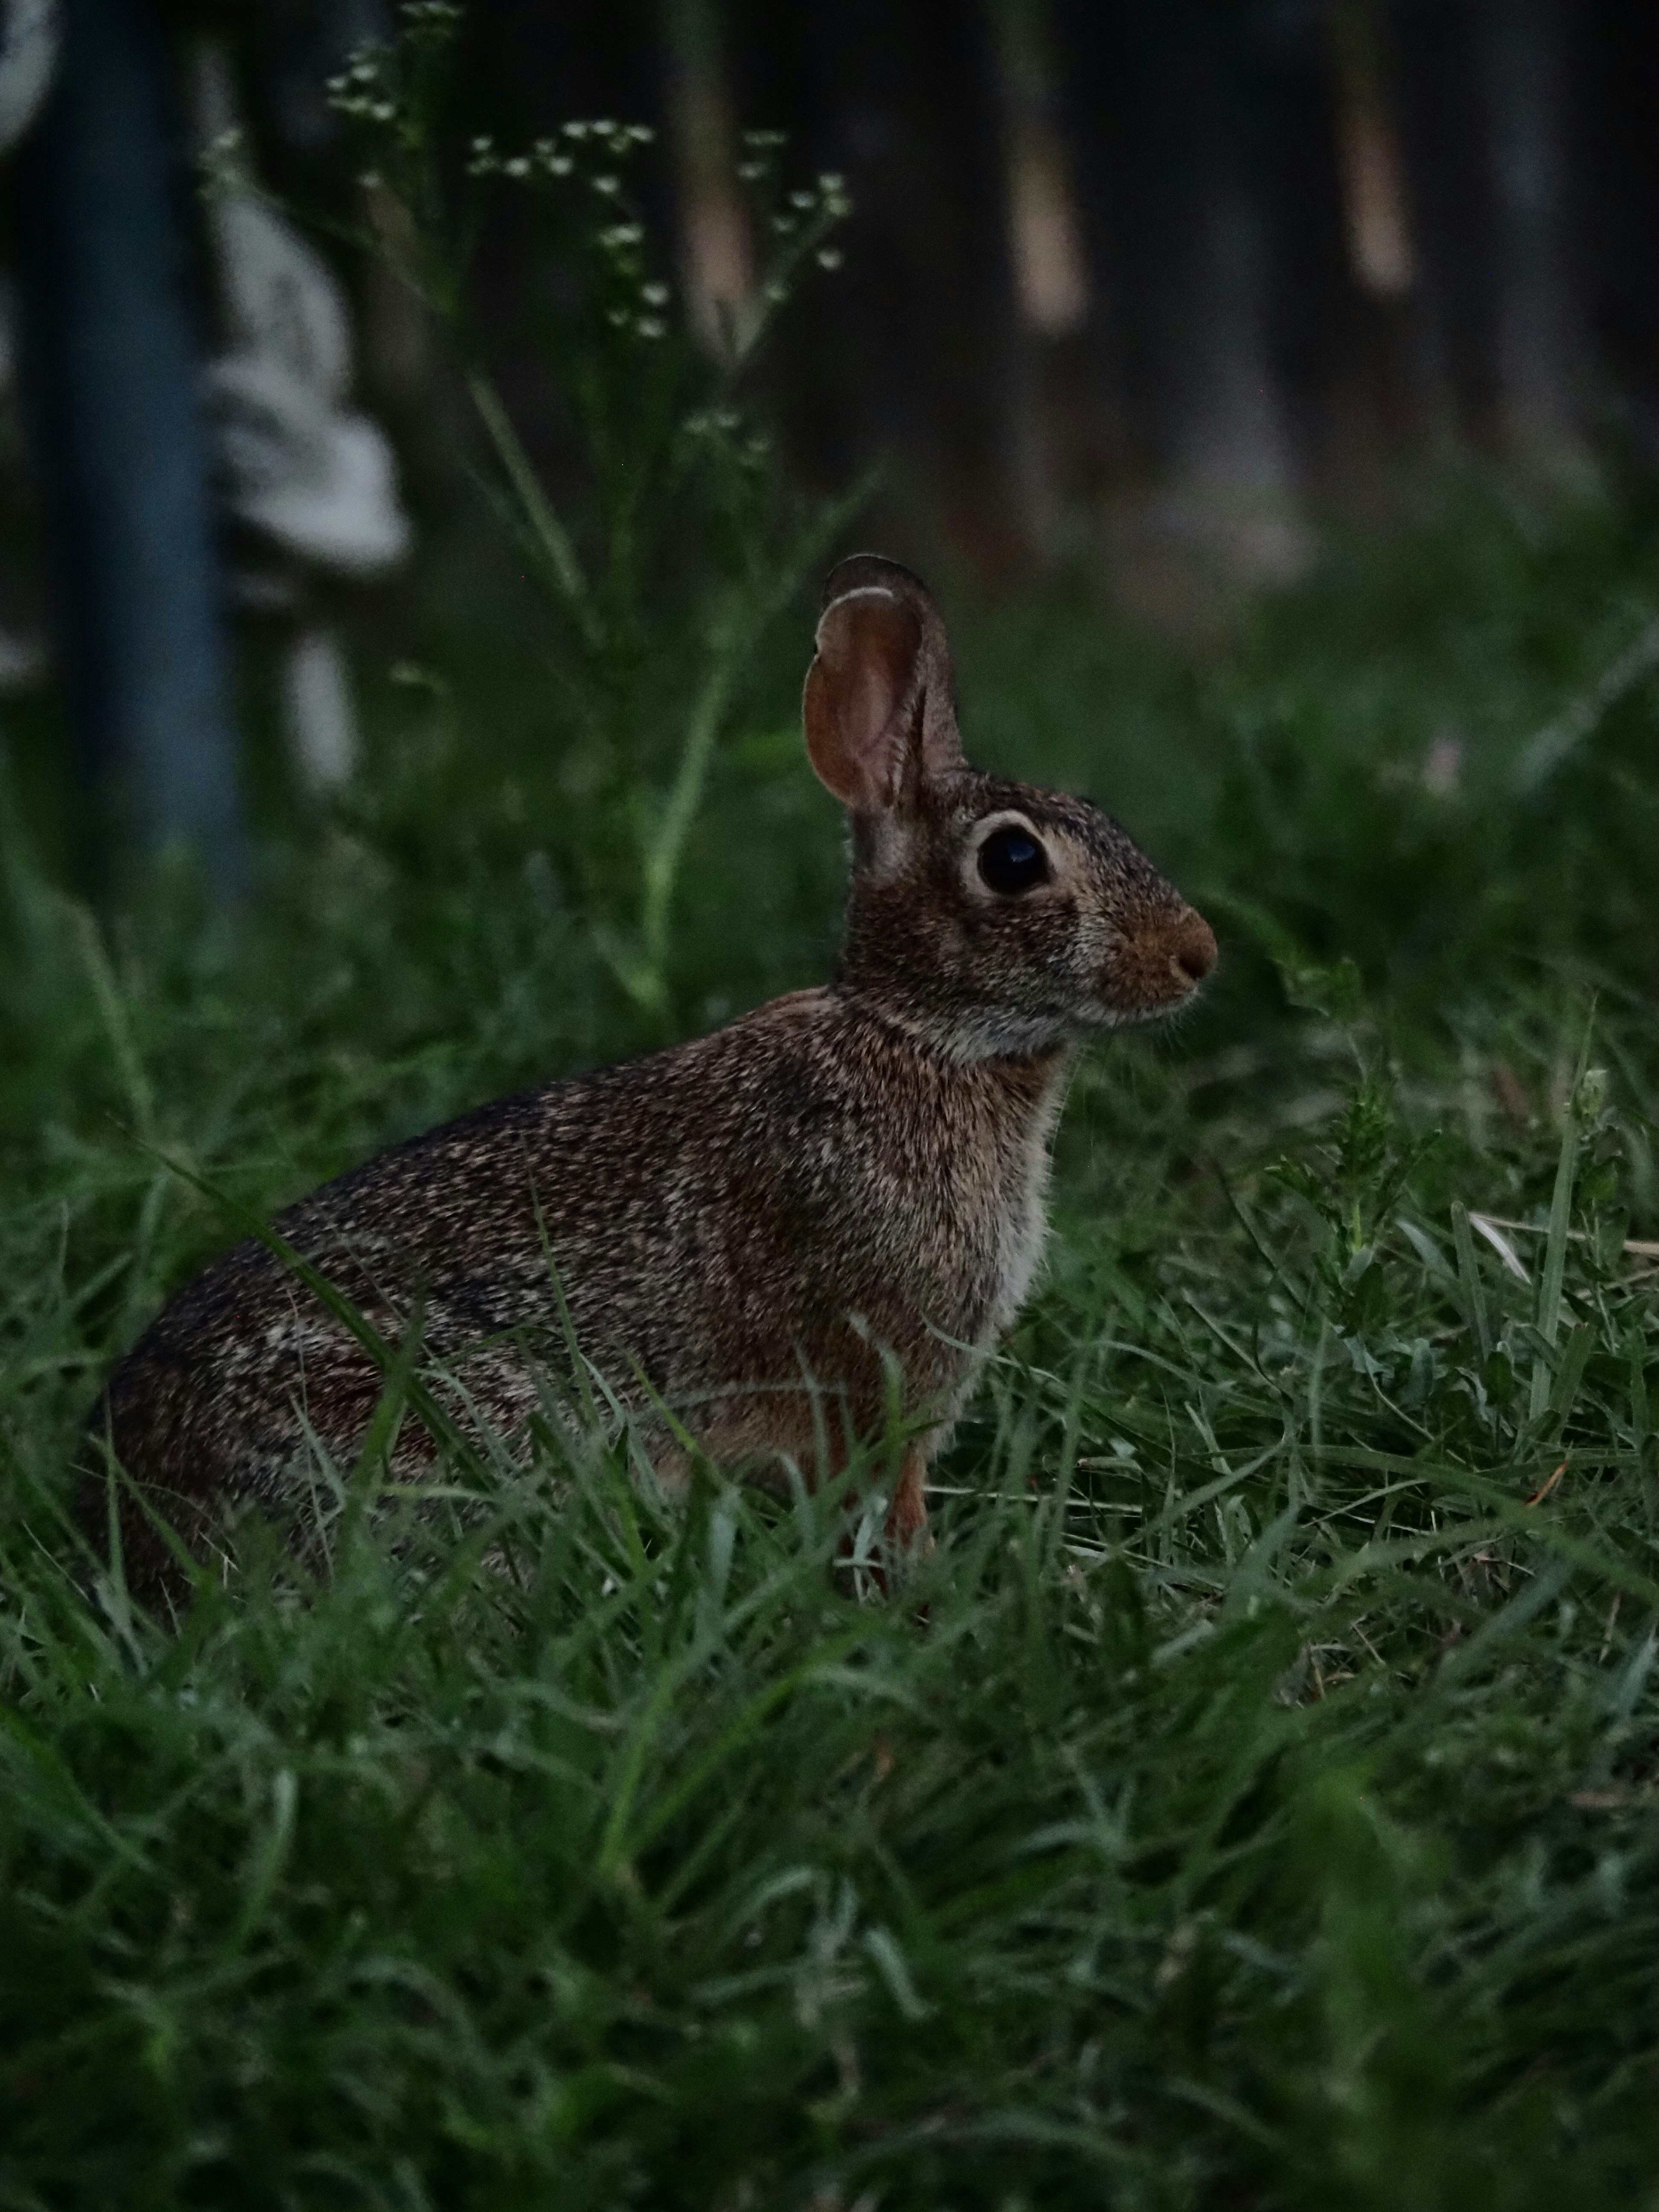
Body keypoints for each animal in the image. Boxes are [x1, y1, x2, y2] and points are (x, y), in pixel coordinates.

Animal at [86, 556, 1215, 1595]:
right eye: (1015, 862)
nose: (1197, 954)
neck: (917, 1036)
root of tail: (134, 1521)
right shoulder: (878, 1369)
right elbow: (888, 1494)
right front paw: (927, 1583)